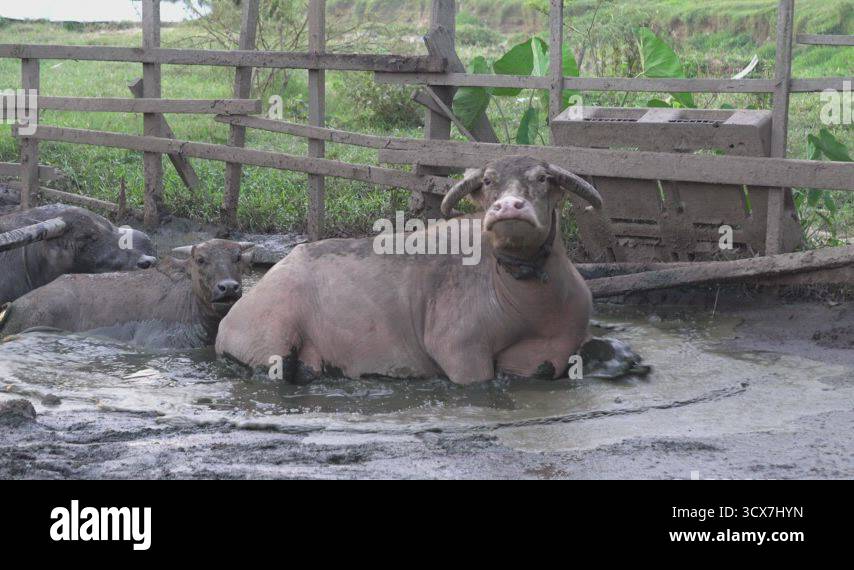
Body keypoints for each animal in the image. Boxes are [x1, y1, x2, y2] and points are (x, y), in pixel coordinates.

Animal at [216, 155, 603, 385]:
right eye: (489, 181)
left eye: (542, 179)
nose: (508, 207)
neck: (529, 307)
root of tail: (230, 321)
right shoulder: (463, 354)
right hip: (271, 343)